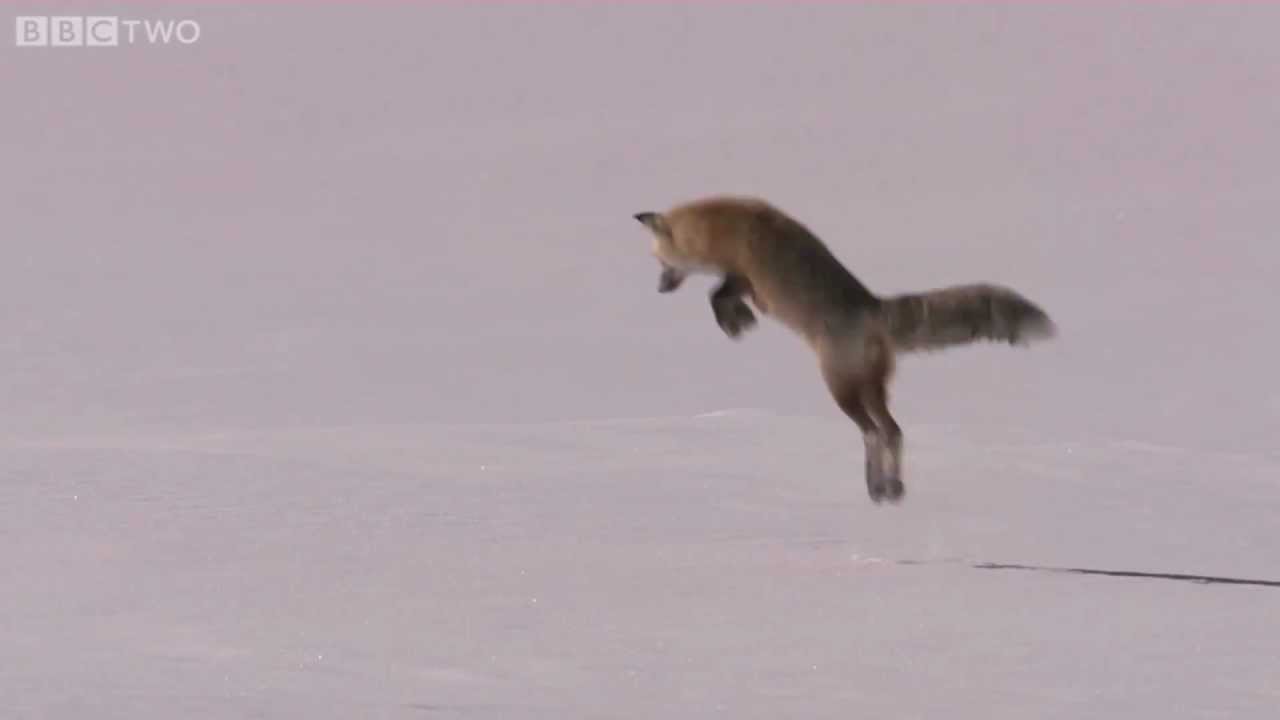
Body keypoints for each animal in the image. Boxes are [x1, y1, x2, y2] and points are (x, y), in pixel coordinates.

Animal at [633, 195, 1055, 504]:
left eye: (659, 261)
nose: (659, 289)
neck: (720, 226)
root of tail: (872, 308)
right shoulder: (744, 280)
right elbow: (721, 294)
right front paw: (739, 319)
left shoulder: (745, 275)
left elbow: (716, 294)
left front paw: (736, 323)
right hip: (872, 387)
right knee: (892, 431)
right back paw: (887, 488)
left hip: (840, 388)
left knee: (872, 431)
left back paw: (880, 486)